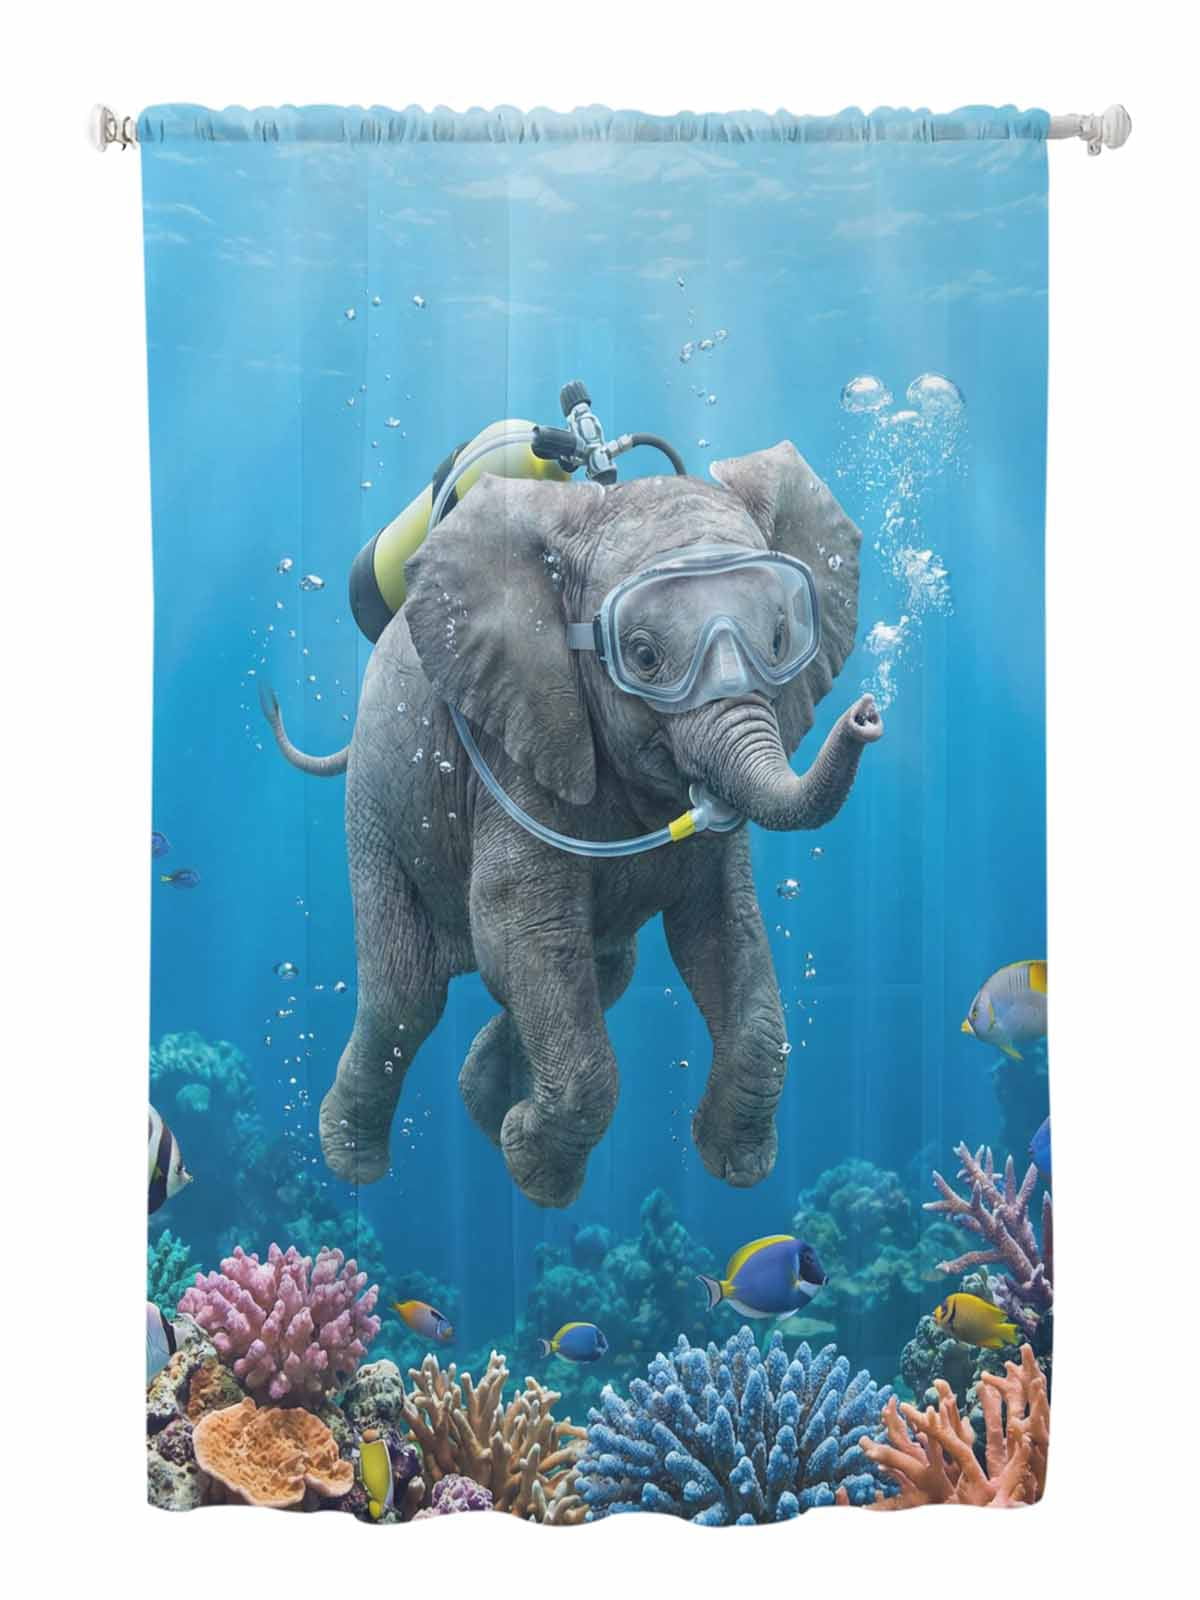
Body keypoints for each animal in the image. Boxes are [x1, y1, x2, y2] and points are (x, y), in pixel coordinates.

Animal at [263, 440, 882, 1209]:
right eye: (642, 656)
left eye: (778, 638)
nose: (867, 715)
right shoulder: (518, 745)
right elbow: (517, 929)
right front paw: (542, 1181)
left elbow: (723, 937)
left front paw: (735, 1168)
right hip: (377, 805)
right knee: (407, 997)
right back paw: (355, 1165)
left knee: (599, 970)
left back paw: (483, 1107)